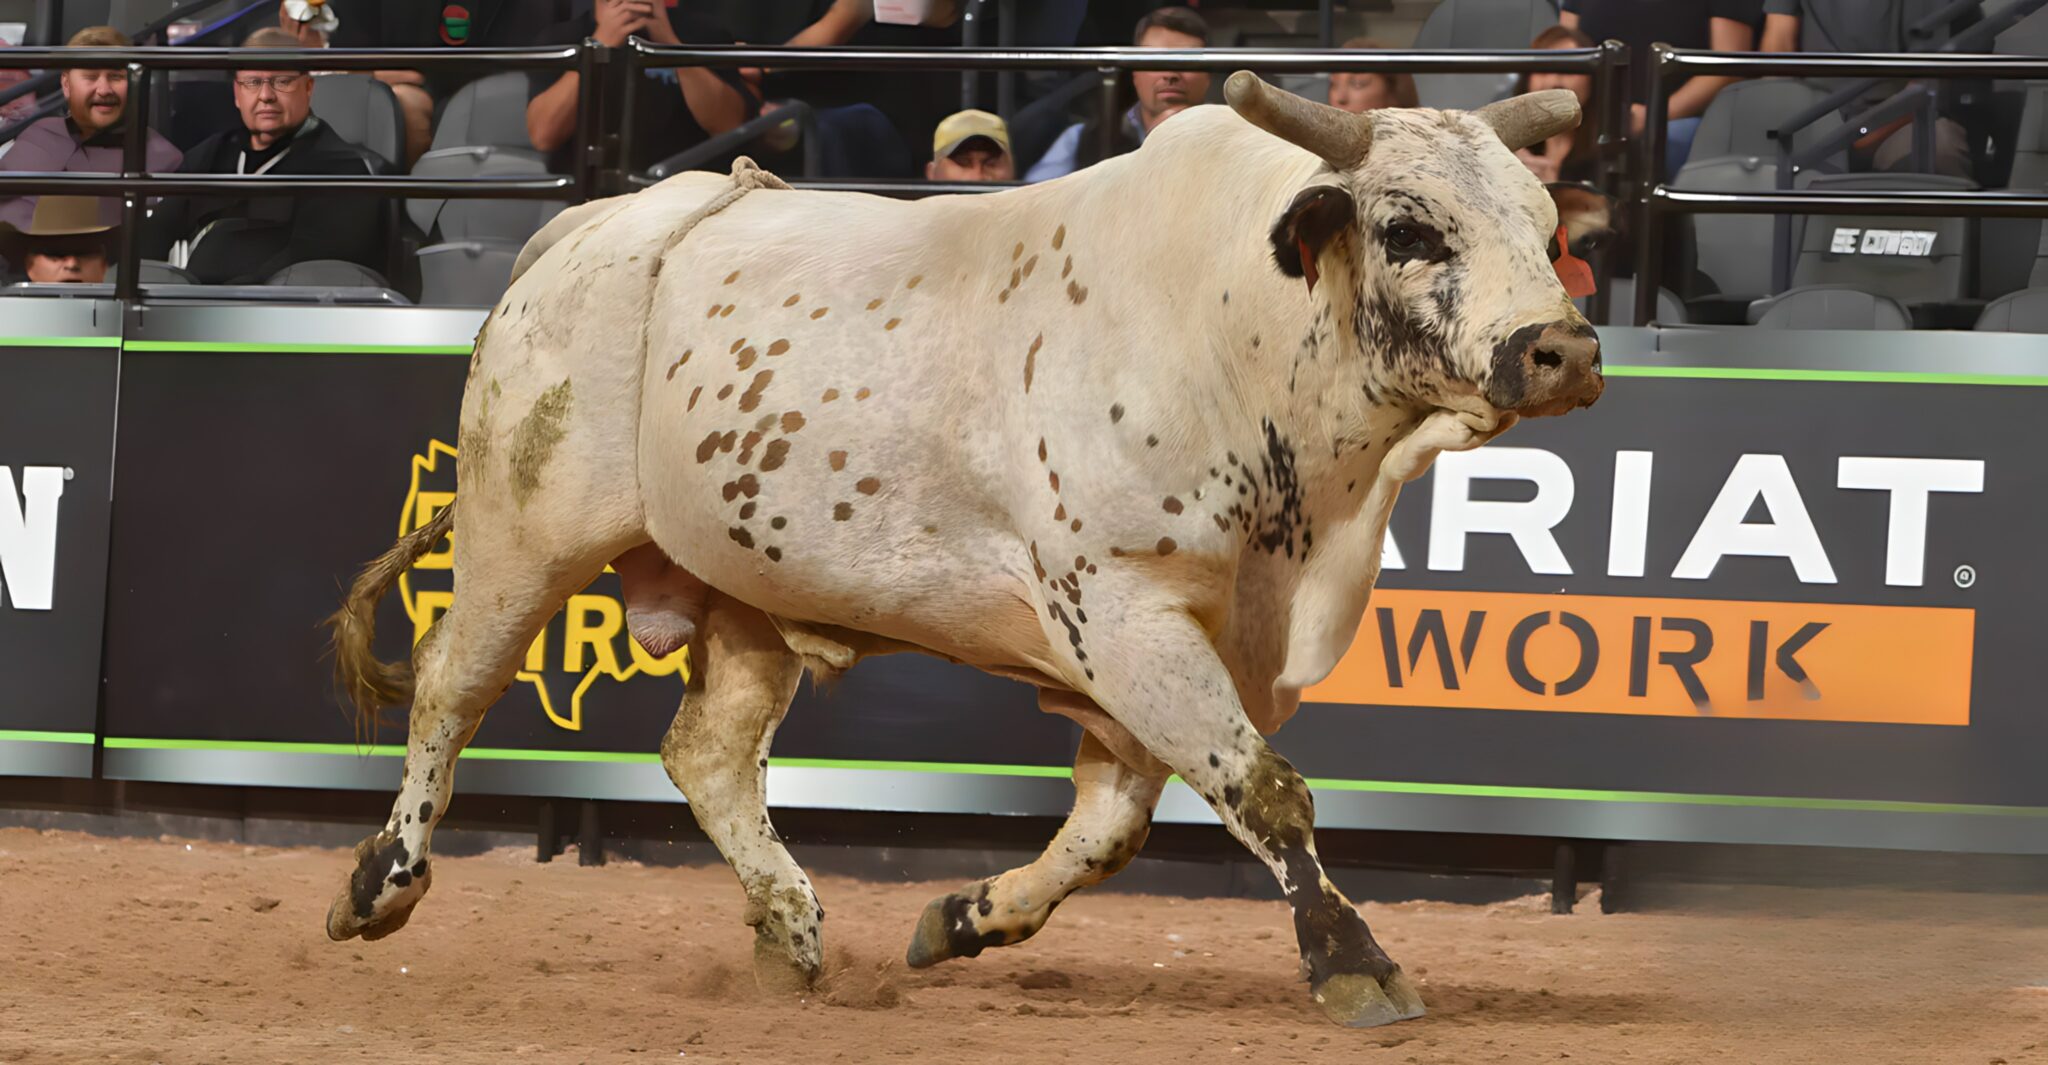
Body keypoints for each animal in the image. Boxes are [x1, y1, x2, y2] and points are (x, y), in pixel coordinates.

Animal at [320, 72, 1602, 1030]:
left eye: (1544, 231)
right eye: (1409, 229)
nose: (1562, 349)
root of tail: (596, 225)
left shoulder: (1160, 648)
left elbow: (1109, 829)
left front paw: (966, 918)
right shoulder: (1121, 609)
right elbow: (1263, 791)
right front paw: (1351, 961)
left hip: (738, 587)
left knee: (709, 755)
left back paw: (790, 930)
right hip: (520, 532)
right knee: (450, 686)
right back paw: (380, 885)